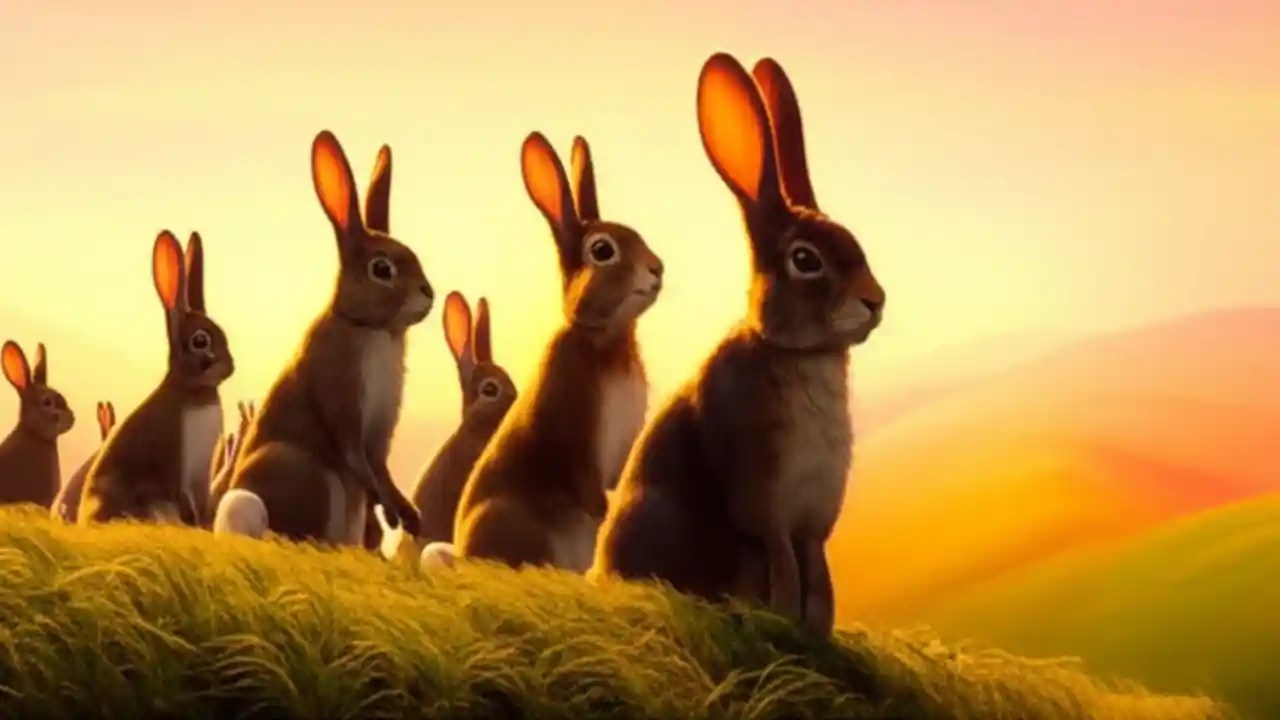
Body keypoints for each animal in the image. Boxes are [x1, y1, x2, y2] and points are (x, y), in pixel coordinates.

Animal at [79, 230, 235, 526]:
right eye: (200, 341)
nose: (230, 368)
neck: (191, 389)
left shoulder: (201, 474)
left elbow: (203, 504)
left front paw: (206, 526)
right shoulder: (177, 456)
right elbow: (183, 496)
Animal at [214, 130, 431, 545]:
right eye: (382, 269)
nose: (429, 295)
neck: (368, 327)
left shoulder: (380, 432)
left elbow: (380, 468)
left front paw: (410, 516)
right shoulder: (344, 404)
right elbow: (358, 458)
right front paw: (393, 513)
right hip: (304, 473)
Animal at [591, 54, 885, 636]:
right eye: (805, 259)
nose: (875, 301)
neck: (798, 353)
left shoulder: (813, 518)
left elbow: (816, 569)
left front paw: (819, 629)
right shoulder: (764, 502)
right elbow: (783, 561)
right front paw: (786, 620)